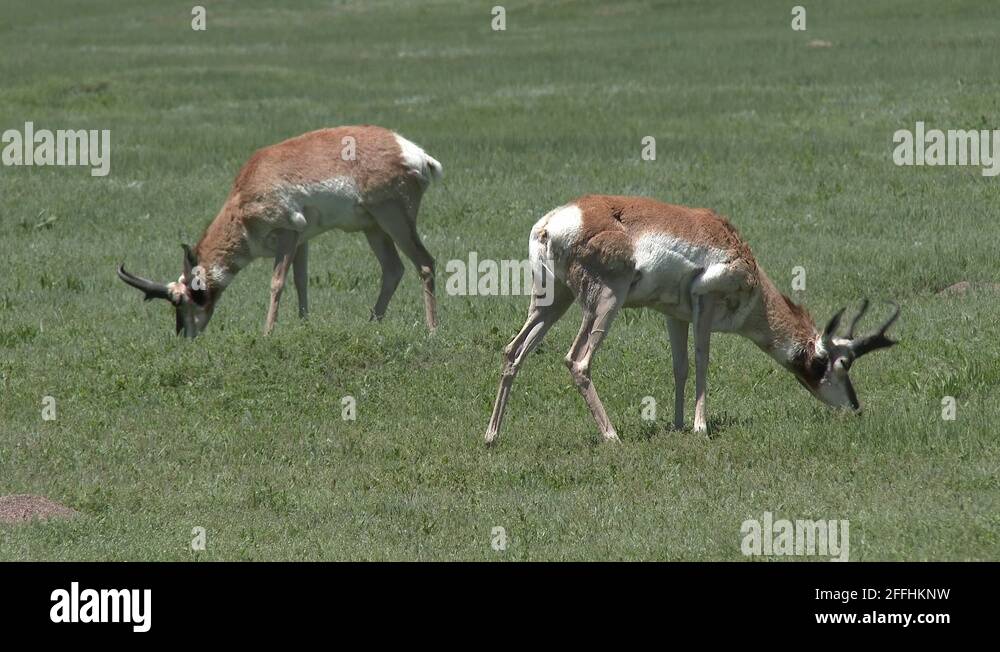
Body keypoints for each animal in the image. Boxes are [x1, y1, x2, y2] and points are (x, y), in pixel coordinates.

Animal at [117, 125, 442, 337]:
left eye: (181, 301)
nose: (183, 335)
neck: (243, 197)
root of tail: (415, 152)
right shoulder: (302, 241)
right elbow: (301, 281)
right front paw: (304, 325)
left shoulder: (288, 235)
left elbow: (277, 283)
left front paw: (267, 333)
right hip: (373, 227)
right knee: (393, 269)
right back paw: (372, 324)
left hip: (393, 220)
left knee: (425, 263)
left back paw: (431, 330)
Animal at [484, 195, 900, 445]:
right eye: (841, 363)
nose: (855, 407)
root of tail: (553, 223)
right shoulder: (705, 304)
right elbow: (702, 361)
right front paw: (701, 428)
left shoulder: (675, 317)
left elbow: (680, 367)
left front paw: (679, 424)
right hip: (603, 303)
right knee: (577, 360)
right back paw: (613, 436)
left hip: (553, 301)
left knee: (512, 351)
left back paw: (492, 436)